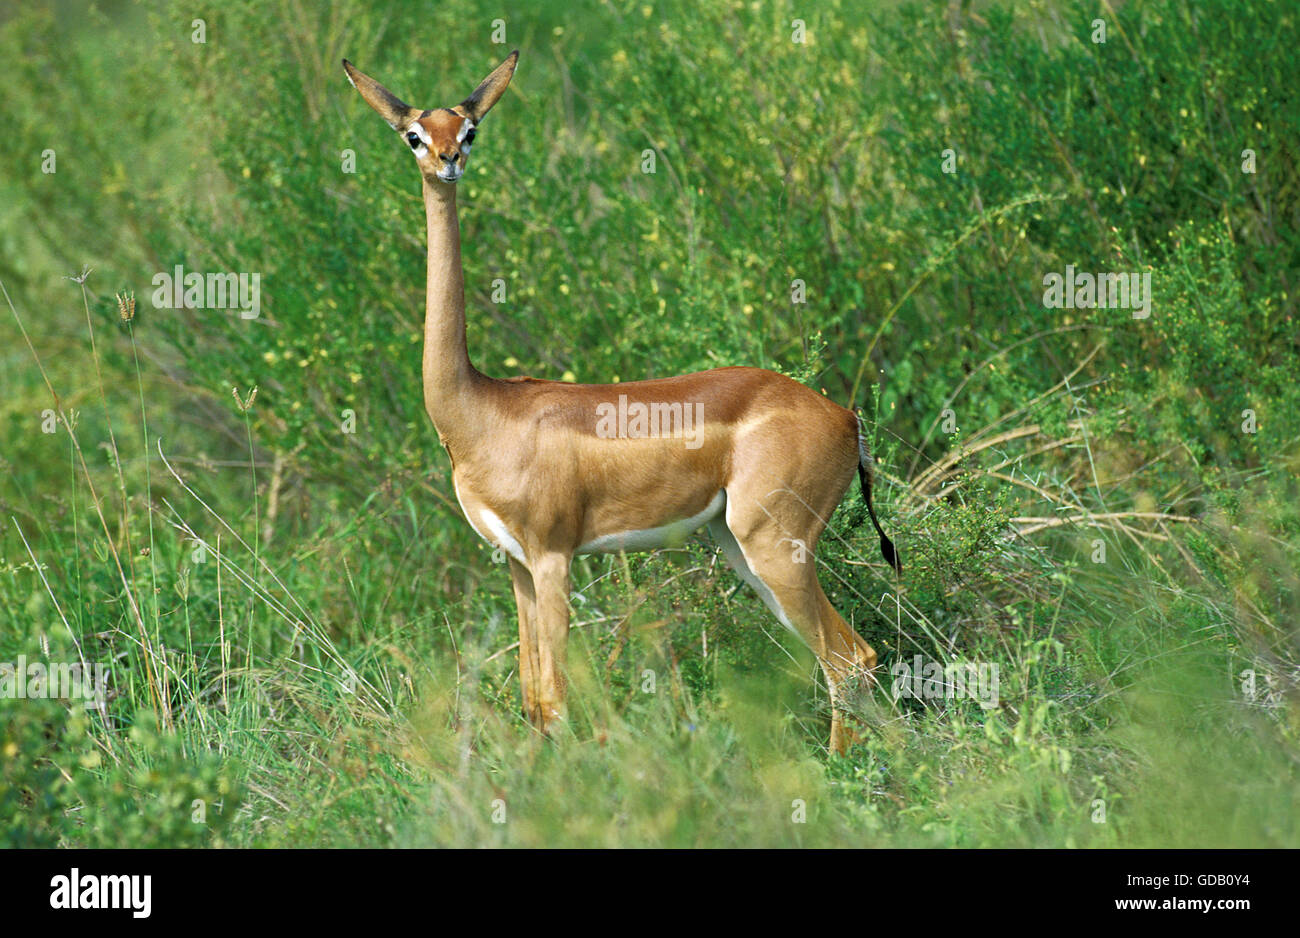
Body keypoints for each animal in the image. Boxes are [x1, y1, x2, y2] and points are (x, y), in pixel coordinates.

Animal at [342, 51, 900, 754]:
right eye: (414, 133)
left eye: (469, 129)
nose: (447, 160)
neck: (479, 414)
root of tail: (846, 417)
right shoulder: (516, 566)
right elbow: (531, 698)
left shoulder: (554, 558)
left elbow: (555, 702)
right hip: (737, 546)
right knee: (849, 662)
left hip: (776, 547)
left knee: (850, 658)